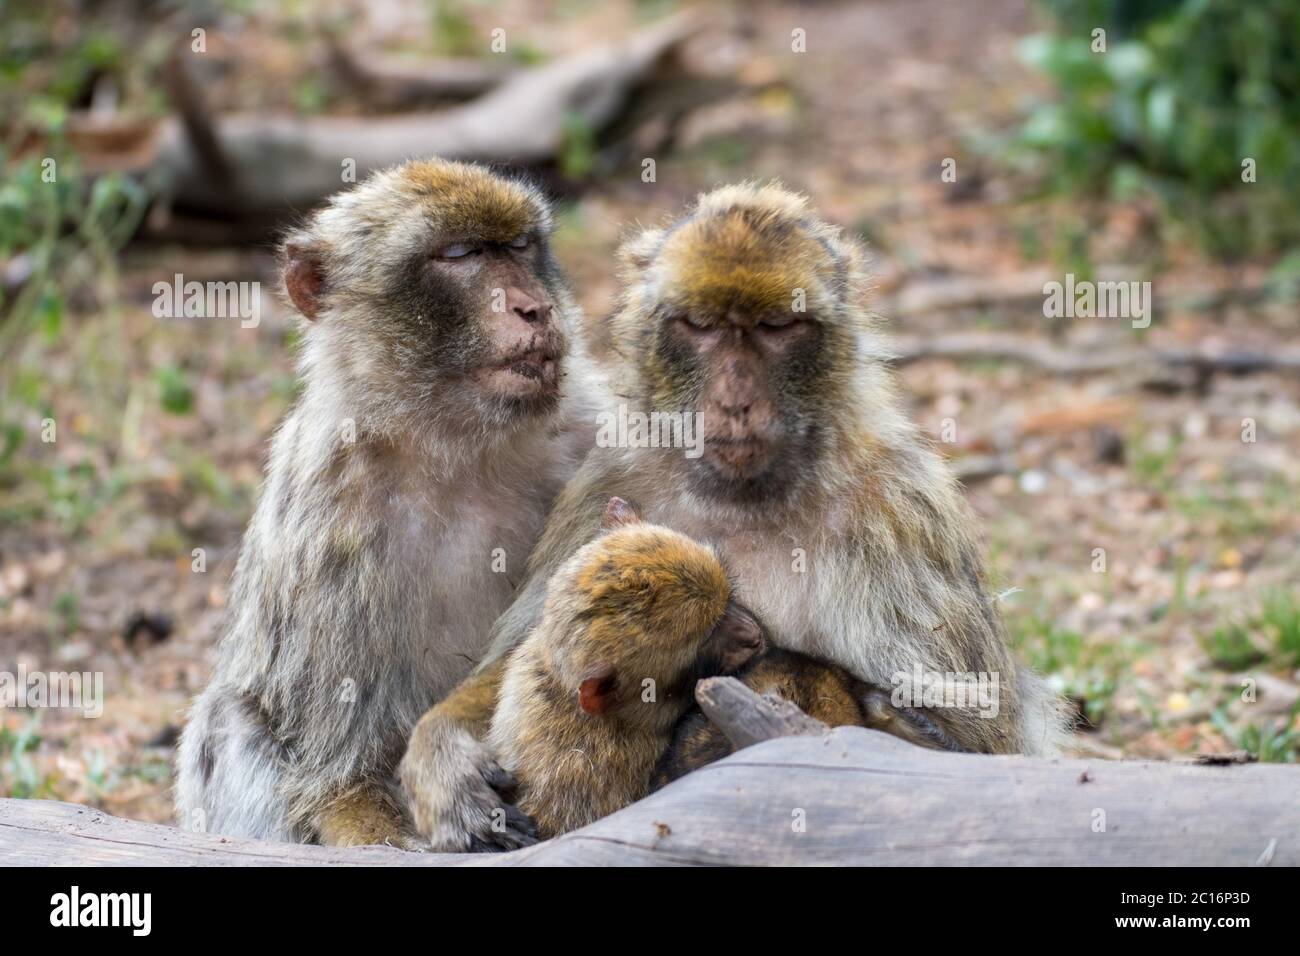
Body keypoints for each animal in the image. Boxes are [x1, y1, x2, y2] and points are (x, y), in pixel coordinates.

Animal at [174, 158, 597, 848]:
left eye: (517, 247)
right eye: (459, 255)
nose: (534, 307)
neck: (455, 448)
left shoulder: (593, 433)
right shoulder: (327, 518)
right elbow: (339, 778)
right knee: (230, 720)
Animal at [401, 181, 1070, 850]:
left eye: (776, 328)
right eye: (703, 327)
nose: (736, 401)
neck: (748, 495)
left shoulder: (905, 512)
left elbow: (974, 748)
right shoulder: (605, 482)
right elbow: (534, 653)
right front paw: (446, 762)